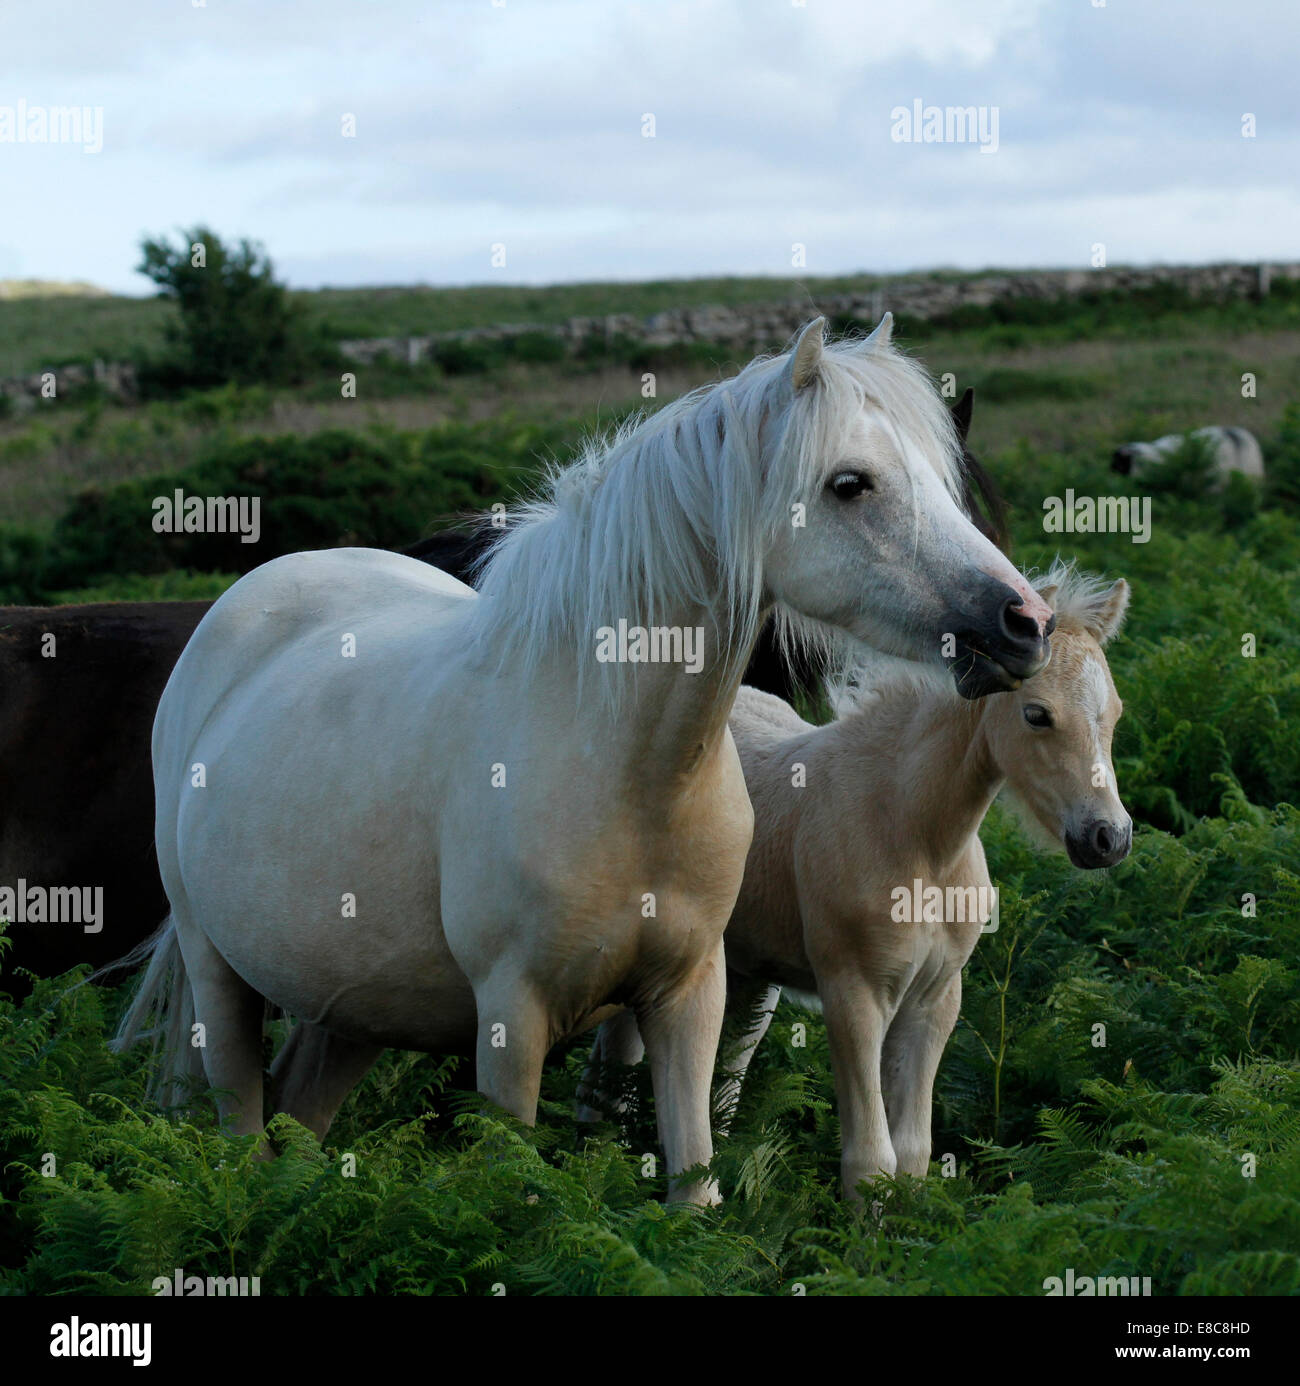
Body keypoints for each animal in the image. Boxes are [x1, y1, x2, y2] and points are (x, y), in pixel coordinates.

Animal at [115, 316, 1052, 1202]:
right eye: (849, 482)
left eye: (947, 480)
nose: (1025, 623)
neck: (632, 773)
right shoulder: (512, 1021)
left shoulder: (687, 998)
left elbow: (693, 1184)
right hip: (216, 973)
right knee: (242, 1121)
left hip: (350, 1006)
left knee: (299, 1115)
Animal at [579, 562, 1130, 1202]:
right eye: (1037, 714)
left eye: (1115, 713)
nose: (1109, 837)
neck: (918, 839)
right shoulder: (854, 993)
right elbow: (871, 1160)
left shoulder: (935, 999)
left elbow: (913, 1154)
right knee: (616, 1055)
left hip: (750, 970)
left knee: (727, 1073)